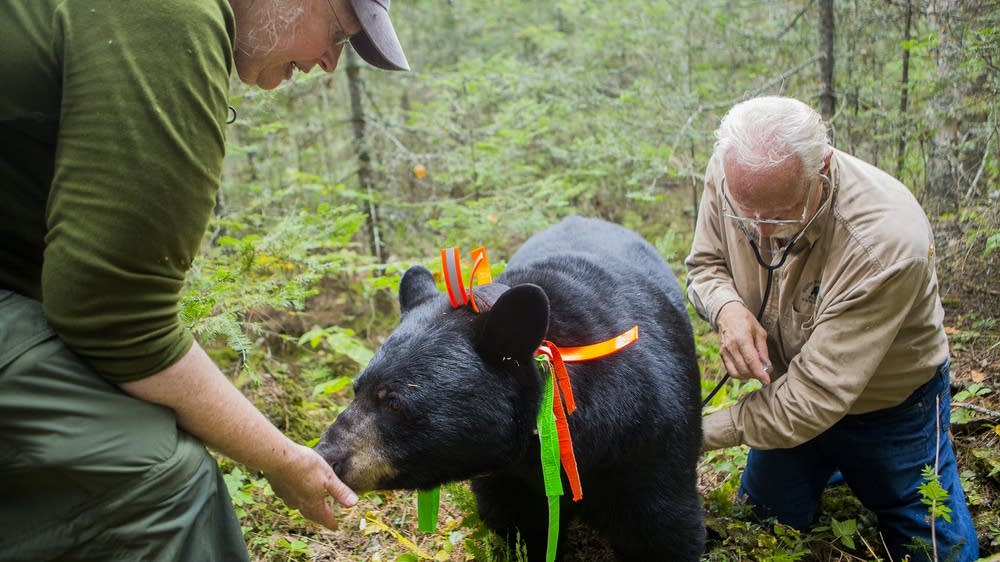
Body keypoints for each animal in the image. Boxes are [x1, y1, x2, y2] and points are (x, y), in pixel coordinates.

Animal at [315, 216, 705, 561]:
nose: (327, 455)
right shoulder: (509, 479)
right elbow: (519, 528)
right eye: (357, 388)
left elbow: (663, 527)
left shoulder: (648, 440)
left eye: (394, 402)